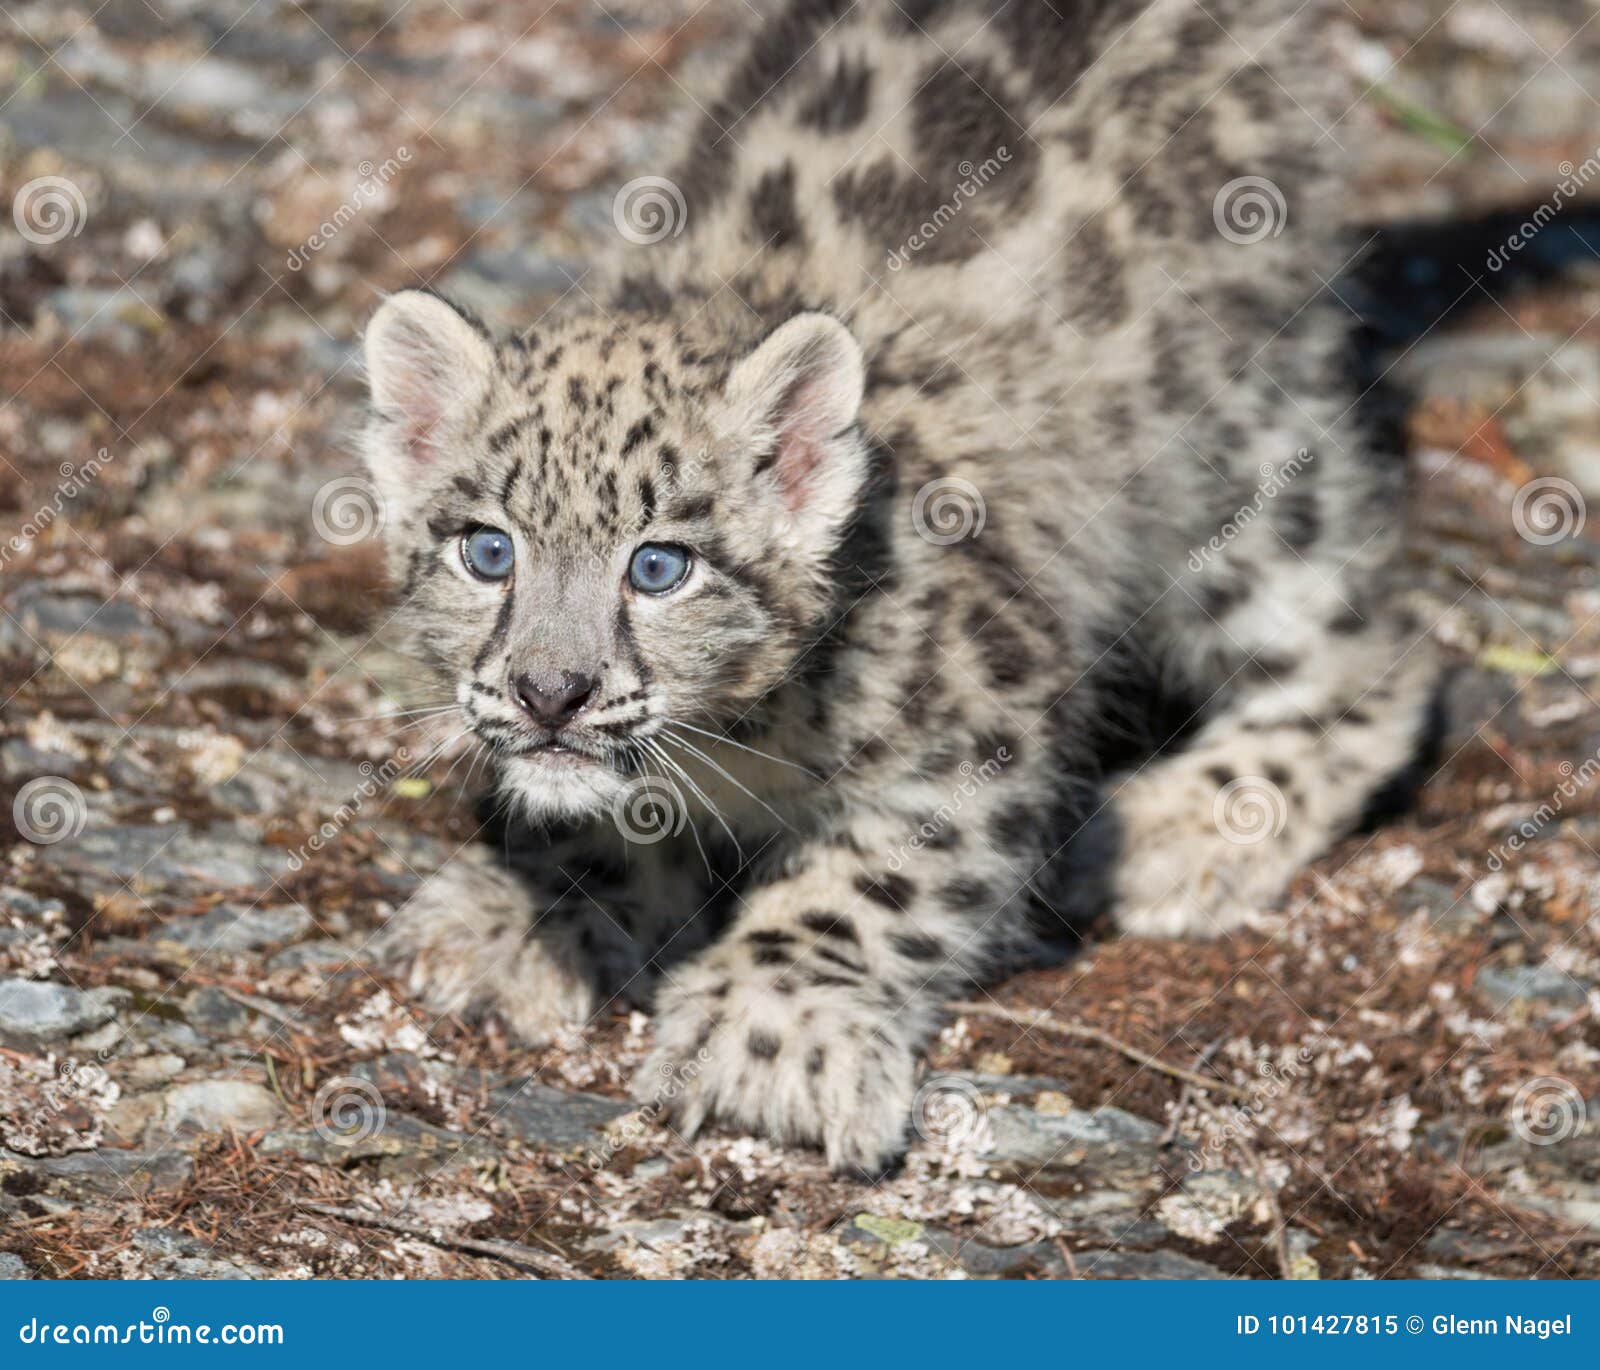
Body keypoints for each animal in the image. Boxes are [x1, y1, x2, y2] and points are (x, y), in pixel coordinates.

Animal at [357, 0, 1438, 1175]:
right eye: (488, 551)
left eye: (659, 564)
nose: (549, 692)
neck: (746, 740)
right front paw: (532, 918)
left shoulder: (985, 710)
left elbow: (884, 876)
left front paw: (769, 1035)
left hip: (1228, 468)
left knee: (1375, 646)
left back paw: (1183, 827)